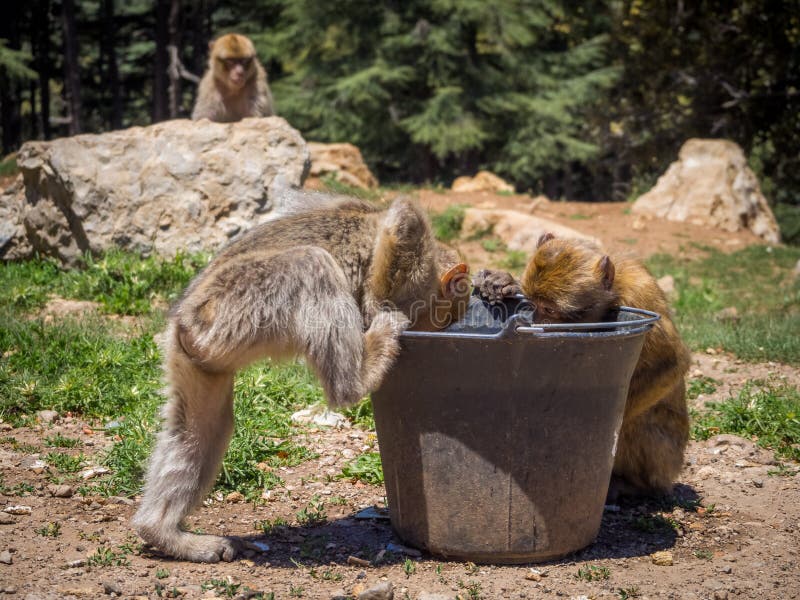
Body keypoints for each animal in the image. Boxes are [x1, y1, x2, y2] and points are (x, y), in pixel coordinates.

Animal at [132, 194, 471, 563]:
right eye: (447, 315)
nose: (442, 329)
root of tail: (186, 318)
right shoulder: (414, 264)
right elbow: (401, 224)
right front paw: (379, 309)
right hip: (234, 306)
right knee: (309, 264)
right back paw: (355, 379)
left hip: (198, 350)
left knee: (201, 429)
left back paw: (163, 532)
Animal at [475, 233, 691, 498]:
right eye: (533, 304)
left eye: (549, 309)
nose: (536, 321)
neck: (615, 293)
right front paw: (502, 281)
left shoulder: (641, 296)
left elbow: (672, 363)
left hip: (665, 460)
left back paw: (633, 485)